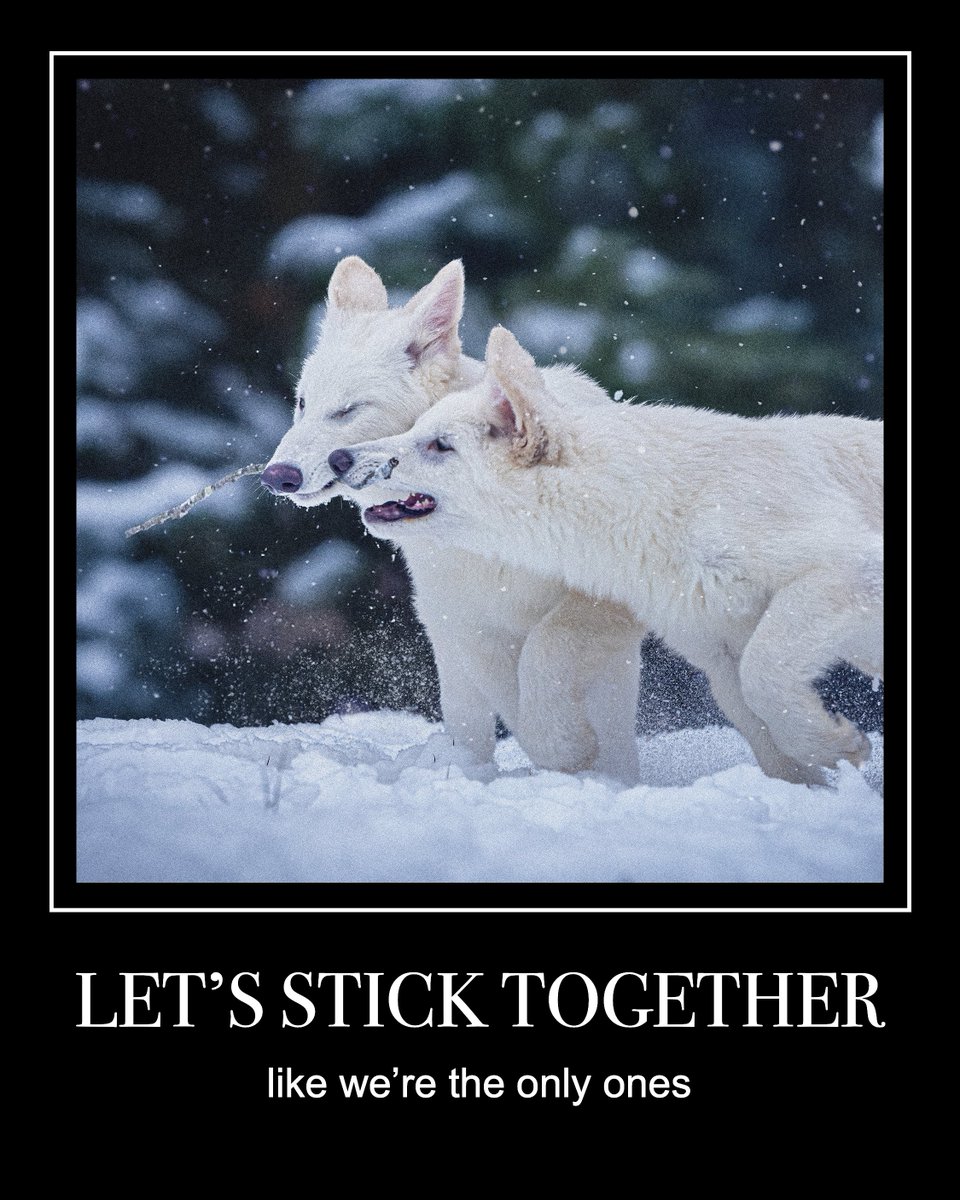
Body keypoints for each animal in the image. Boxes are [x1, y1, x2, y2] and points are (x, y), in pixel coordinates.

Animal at [262, 258, 646, 783]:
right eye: (302, 403)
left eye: (346, 410)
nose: (276, 476)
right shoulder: (461, 622)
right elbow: (505, 700)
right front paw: (552, 757)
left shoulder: (600, 605)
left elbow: (546, 651)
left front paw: (568, 753)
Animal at [331, 326, 884, 785]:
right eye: (414, 429)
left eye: (439, 445)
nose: (340, 458)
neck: (657, 503)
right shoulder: (714, 646)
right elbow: (758, 716)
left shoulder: (843, 568)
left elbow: (764, 676)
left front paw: (840, 746)